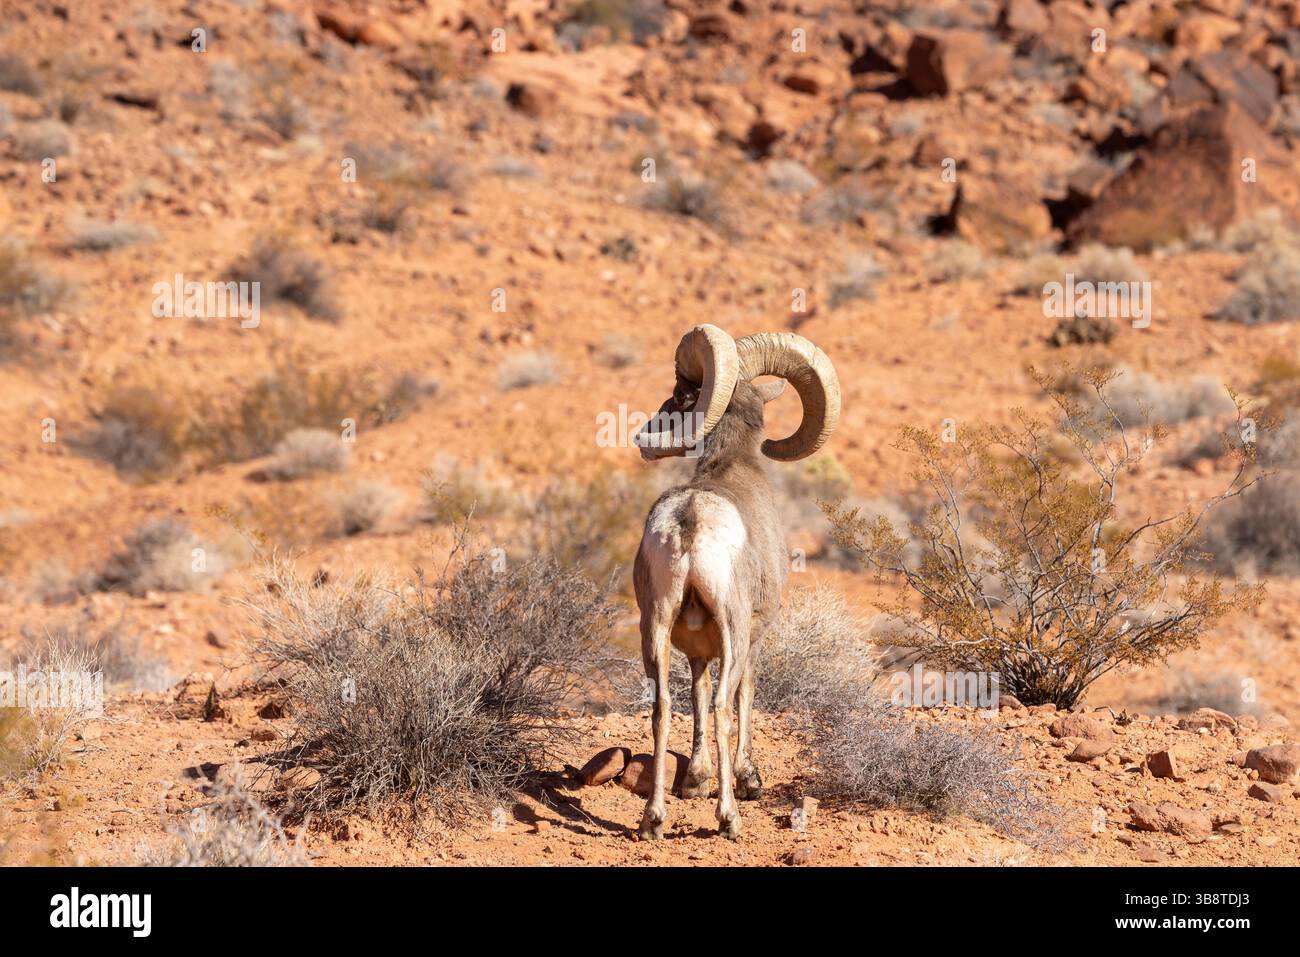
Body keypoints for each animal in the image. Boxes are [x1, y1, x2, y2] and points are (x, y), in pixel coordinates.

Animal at [631, 324, 841, 839]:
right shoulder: (754, 634)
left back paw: (653, 820)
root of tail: (689, 521)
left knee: (663, 706)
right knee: (726, 704)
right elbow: (744, 693)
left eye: (677, 396)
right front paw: (749, 780)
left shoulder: (695, 649)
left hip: (655, 627)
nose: (646, 436)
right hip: (733, 627)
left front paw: (695, 780)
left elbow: (696, 694)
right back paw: (729, 817)